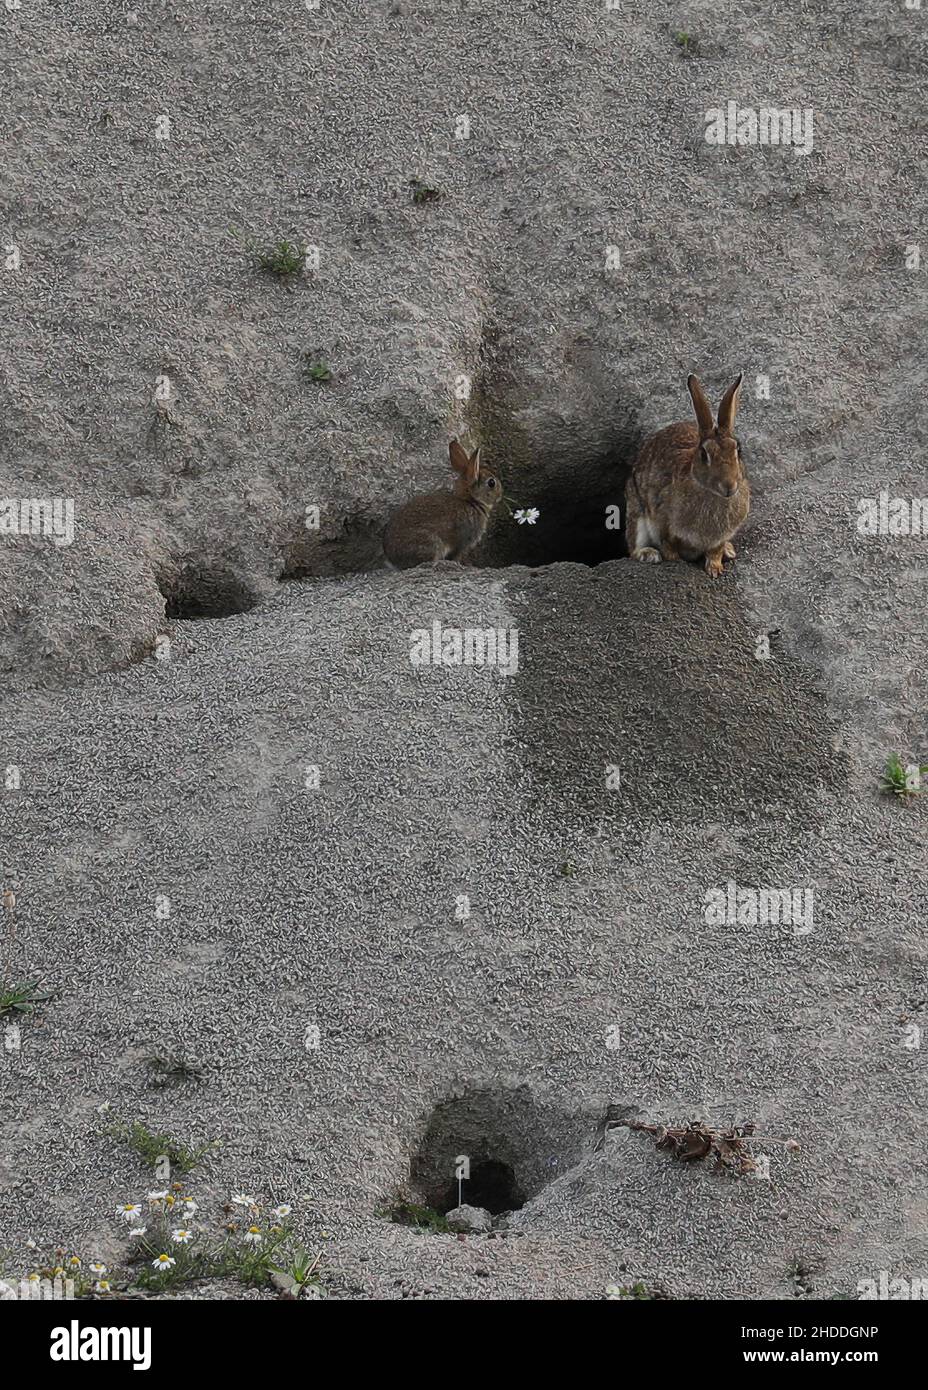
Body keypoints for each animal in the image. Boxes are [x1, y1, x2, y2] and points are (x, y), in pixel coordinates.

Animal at [383, 438, 502, 569]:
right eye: (491, 483)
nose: (500, 494)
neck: (470, 501)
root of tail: (394, 560)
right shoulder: (462, 542)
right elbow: (456, 556)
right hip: (430, 544)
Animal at [625, 373, 749, 577]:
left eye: (738, 450)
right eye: (704, 455)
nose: (729, 486)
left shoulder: (720, 537)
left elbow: (715, 551)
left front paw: (715, 569)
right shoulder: (663, 521)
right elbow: (668, 545)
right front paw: (674, 560)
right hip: (636, 512)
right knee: (633, 547)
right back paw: (648, 554)